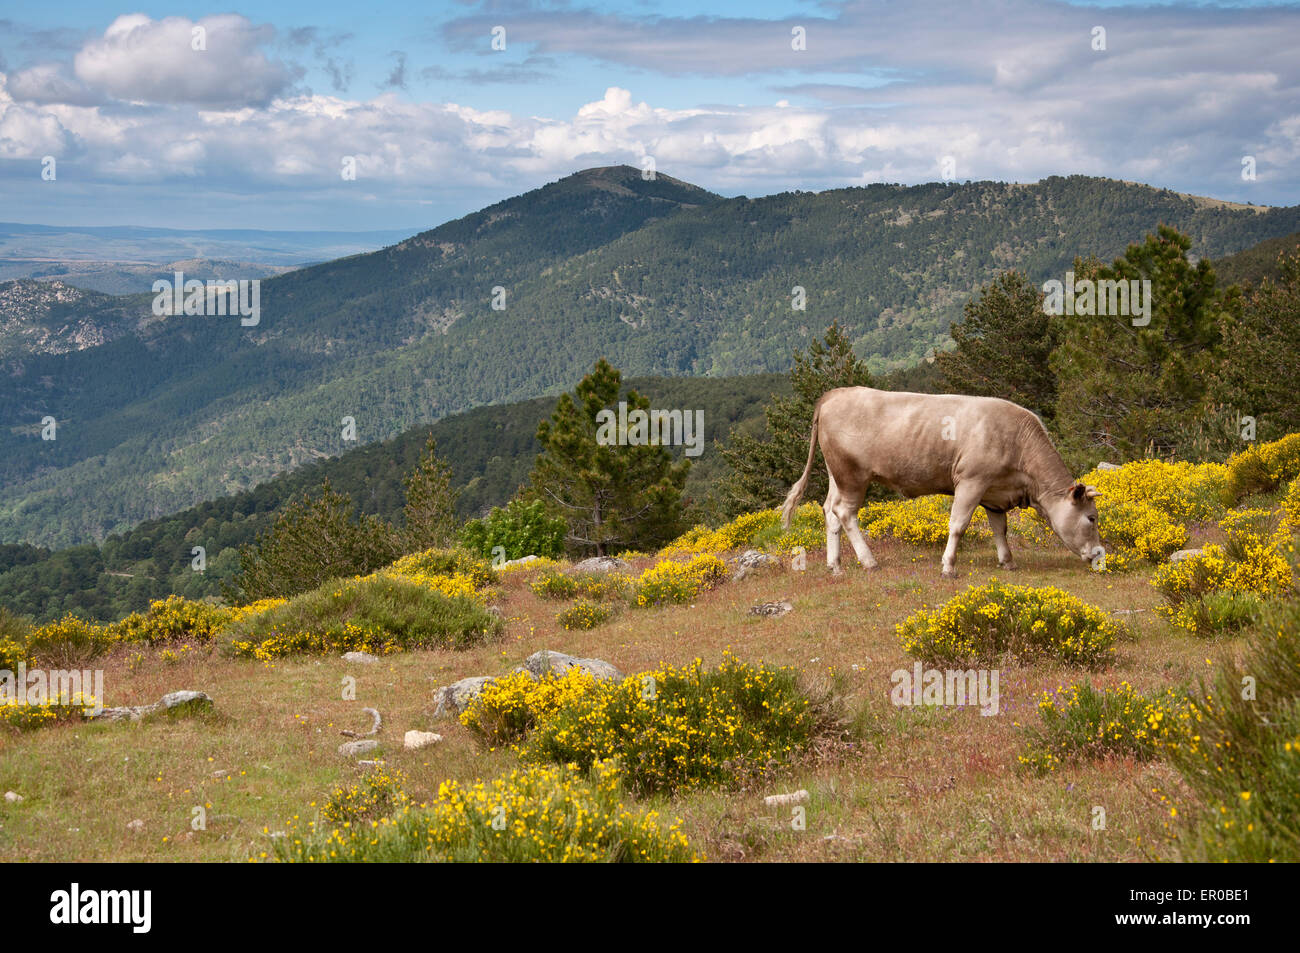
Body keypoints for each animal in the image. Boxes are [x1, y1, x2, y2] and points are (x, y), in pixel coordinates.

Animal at [780, 387, 1104, 577]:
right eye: (1091, 518)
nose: (1100, 554)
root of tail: (836, 393)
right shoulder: (972, 481)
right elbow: (958, 525)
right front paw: (948, 566)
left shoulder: (995, 491)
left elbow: (1000, 528)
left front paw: (1007, 561)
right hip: (852, 474)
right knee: (845, 513)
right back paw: (869, 561)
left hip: (836, 473)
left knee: (829, 511)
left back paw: (835, 565)